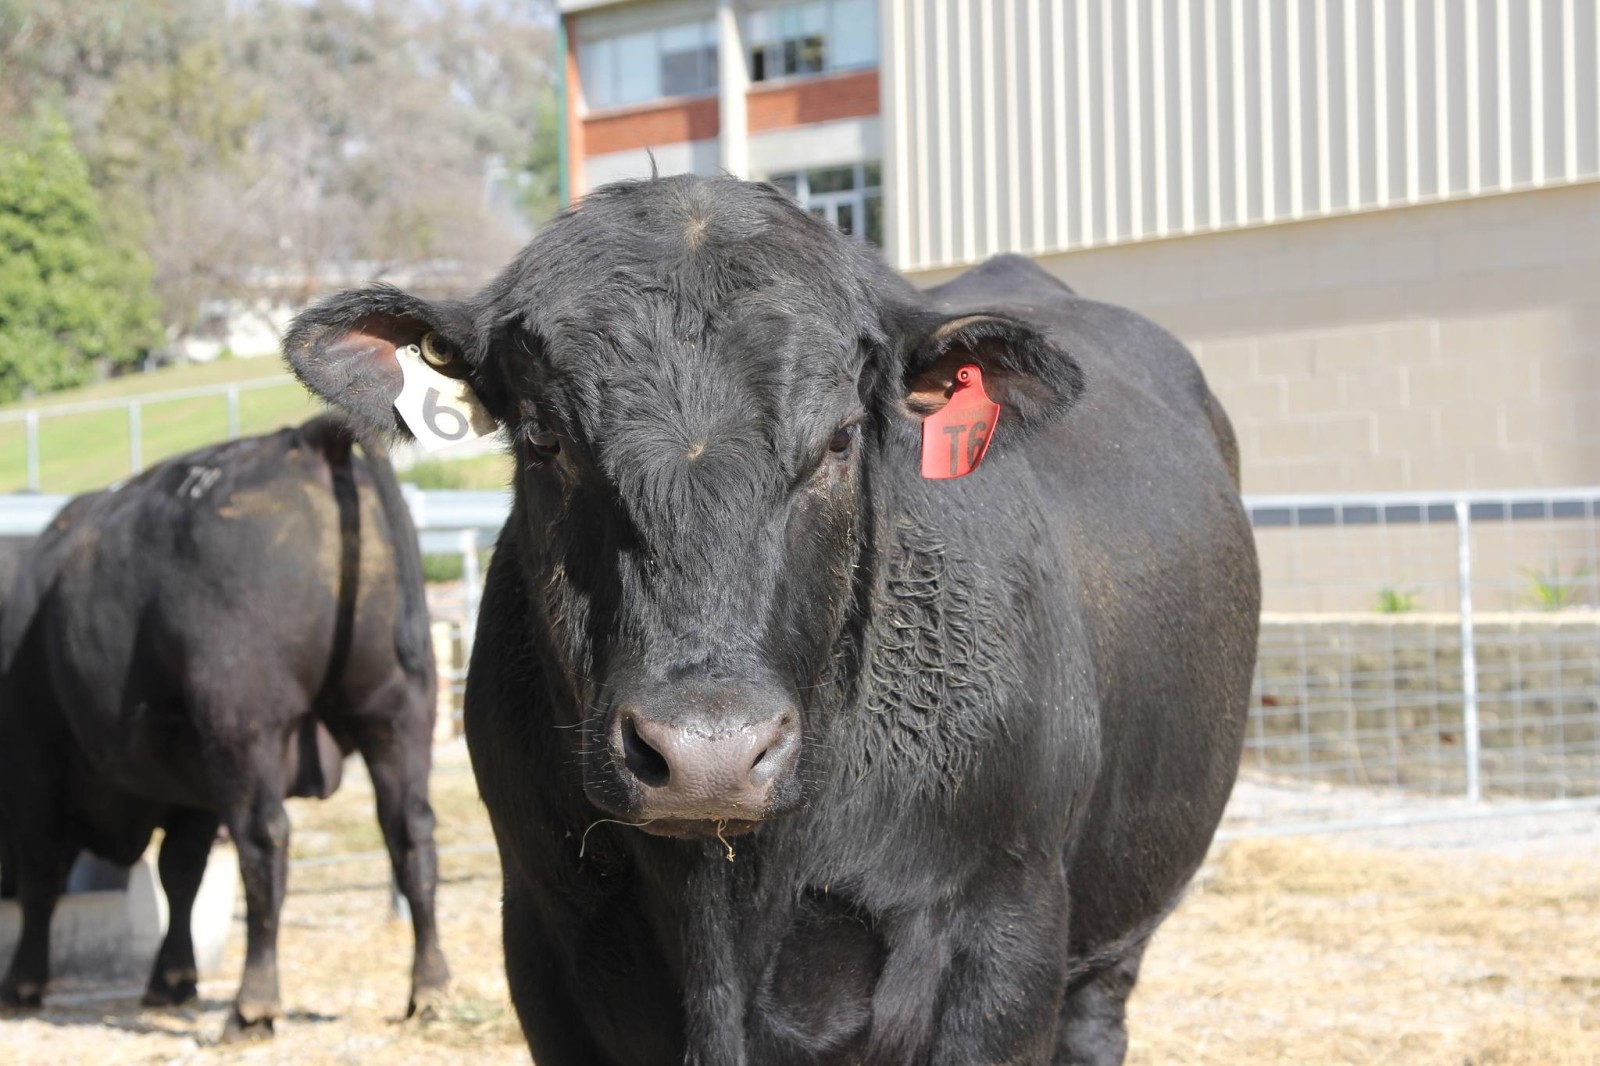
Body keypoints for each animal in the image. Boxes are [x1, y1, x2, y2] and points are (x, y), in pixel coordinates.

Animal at [0, 416, 449, 1040]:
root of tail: (308, 440)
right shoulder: (192, 788)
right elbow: (181, 874)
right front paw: (172, 978)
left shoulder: (31, 760)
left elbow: (43, 874)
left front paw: (23, 982)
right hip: (398, 710)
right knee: (410, 832)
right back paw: (427, 990)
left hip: (243, 723)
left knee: (264, 840)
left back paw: (252, 1004)